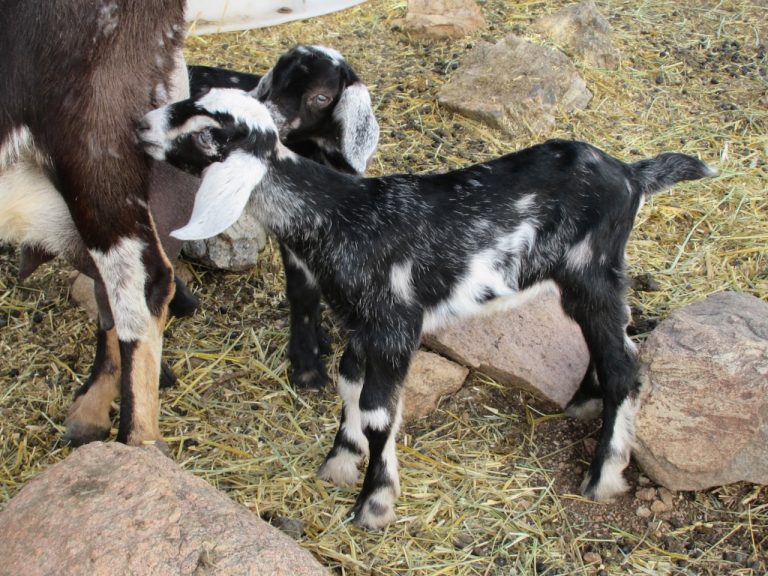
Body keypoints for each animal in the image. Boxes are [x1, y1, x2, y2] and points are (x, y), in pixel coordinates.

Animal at [138, 89, 715, 529]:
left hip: (593, 271)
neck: (341, 215)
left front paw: (373, 503)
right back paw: (584, 403)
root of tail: (631, 174)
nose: (141, 125)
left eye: (208, 132)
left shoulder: (395, 325)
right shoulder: (360, 325)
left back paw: (603, 476)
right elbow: (349, 386)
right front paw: (340, 463)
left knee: (626, 367)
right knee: (614, 343)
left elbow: (378, 413)